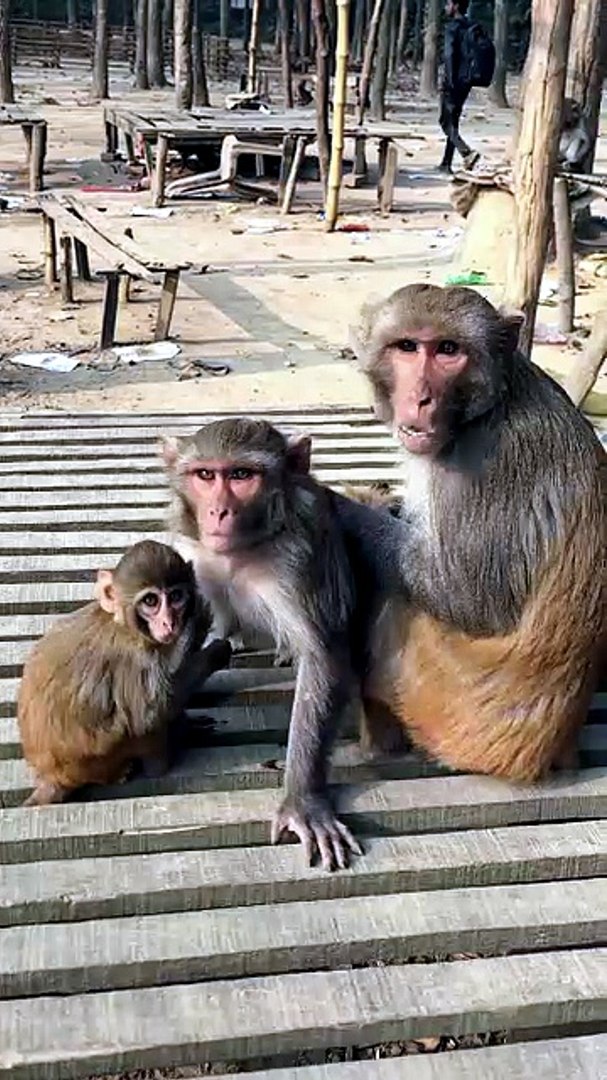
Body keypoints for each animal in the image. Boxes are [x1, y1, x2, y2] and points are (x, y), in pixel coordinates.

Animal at [18, 540, 232, 807]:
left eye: (175, 597)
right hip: (102, 760)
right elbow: (150, 713)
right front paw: (212, 648)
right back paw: (165, 756)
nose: (169, 623)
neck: (124, 624)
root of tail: (53, 777)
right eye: (150, 601)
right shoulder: (136, 659)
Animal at [159, 418, 398, 871]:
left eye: (241, 475)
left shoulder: (301, 560)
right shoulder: (192, 552)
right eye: (205, 475)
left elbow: (323, 657)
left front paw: (303, 801)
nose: (218, 511)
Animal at [348, 282, 606, 782]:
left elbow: (469, 597)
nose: (422, 398)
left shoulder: (484, 463)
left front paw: (341, 504)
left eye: (448, 351)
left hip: (447, 701)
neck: (488, 405)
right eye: (407, 347)